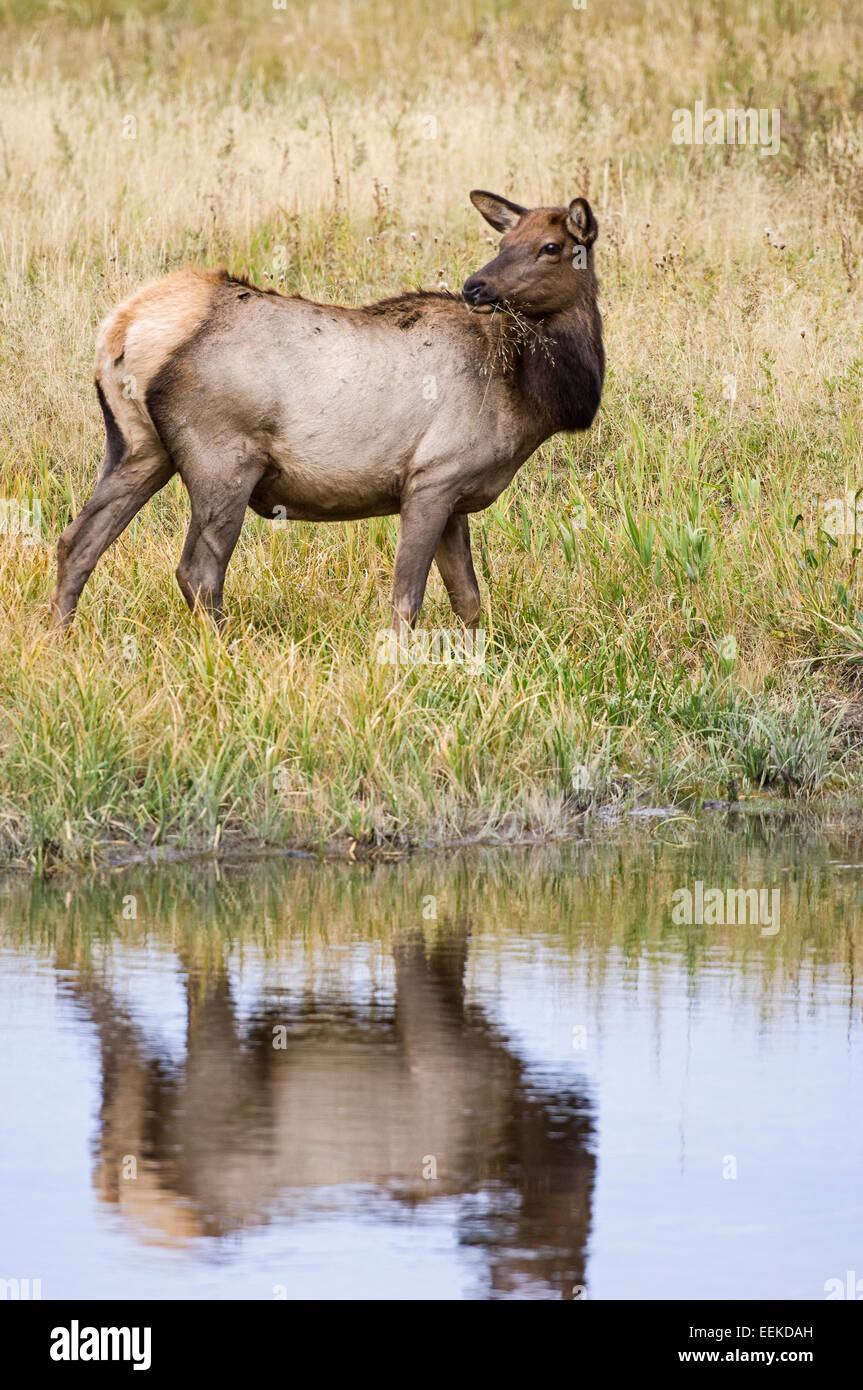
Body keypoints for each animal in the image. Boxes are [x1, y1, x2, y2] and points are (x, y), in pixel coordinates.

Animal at [50, 190, 604, 634]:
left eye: (549, 247)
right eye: (503, 245)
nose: (474, 286)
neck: (528, 393)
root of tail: (121, 327)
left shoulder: (455, 494)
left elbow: (468, 600)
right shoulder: (432, 478)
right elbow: (408, 598)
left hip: (138, 446)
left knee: (77, 540)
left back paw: (59, 639)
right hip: (221, 458)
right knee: (198, 571)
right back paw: (226, 650)